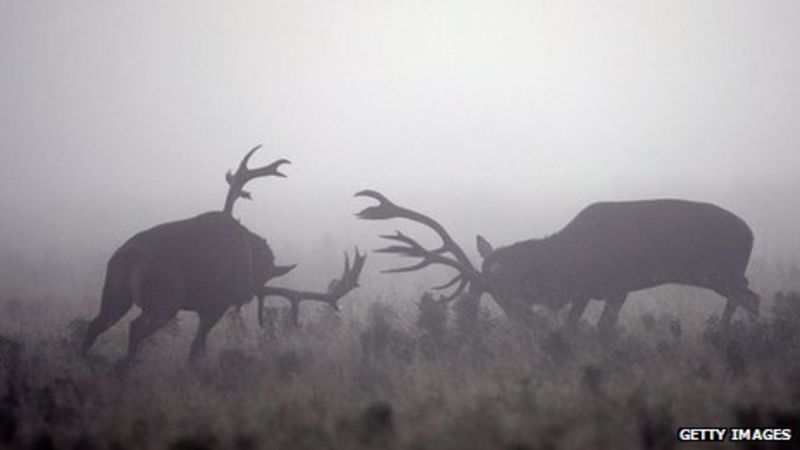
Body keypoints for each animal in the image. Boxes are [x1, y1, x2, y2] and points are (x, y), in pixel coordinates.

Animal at [82, 145, 365, 361]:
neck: (253, 258)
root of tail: (128, 260)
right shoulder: (216, 303)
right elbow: (196, 348)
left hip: (115, 293)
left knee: (94, 325)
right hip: (165, 300)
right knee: (135, 328)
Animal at [355, 190, 759, 331]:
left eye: (497, 288)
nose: (521, 320)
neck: (565, 263)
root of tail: (751, 234)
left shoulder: (618, 286)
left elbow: (602, 331)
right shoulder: (585, 292)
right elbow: (570, 325)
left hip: (719, 271)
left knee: (748, 296)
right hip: (721, 275)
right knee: (749, 295)